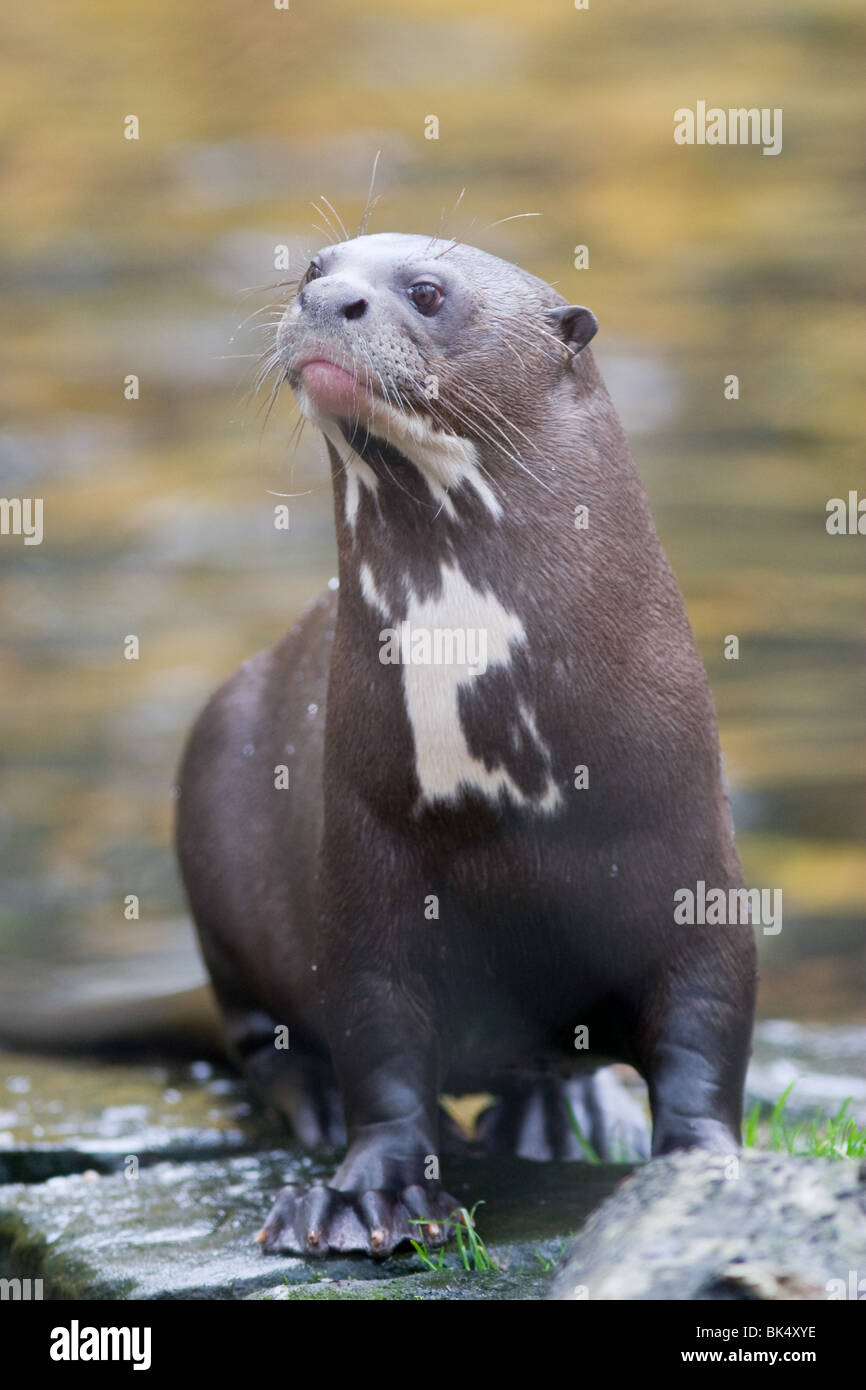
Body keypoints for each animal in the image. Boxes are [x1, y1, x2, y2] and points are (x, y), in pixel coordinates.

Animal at [175, 232, 757, 1257]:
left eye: (427, 292)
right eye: (315, 265)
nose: (329, 298)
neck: (510, 785)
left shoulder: (692, 848)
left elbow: (705, 1030)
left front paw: (702, 1172)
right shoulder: (363, 866)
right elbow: (380, 1049)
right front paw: (365, 1196)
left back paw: (568, 1119)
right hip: (209, 797)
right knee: (256, 1037)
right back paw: (316, 1102)